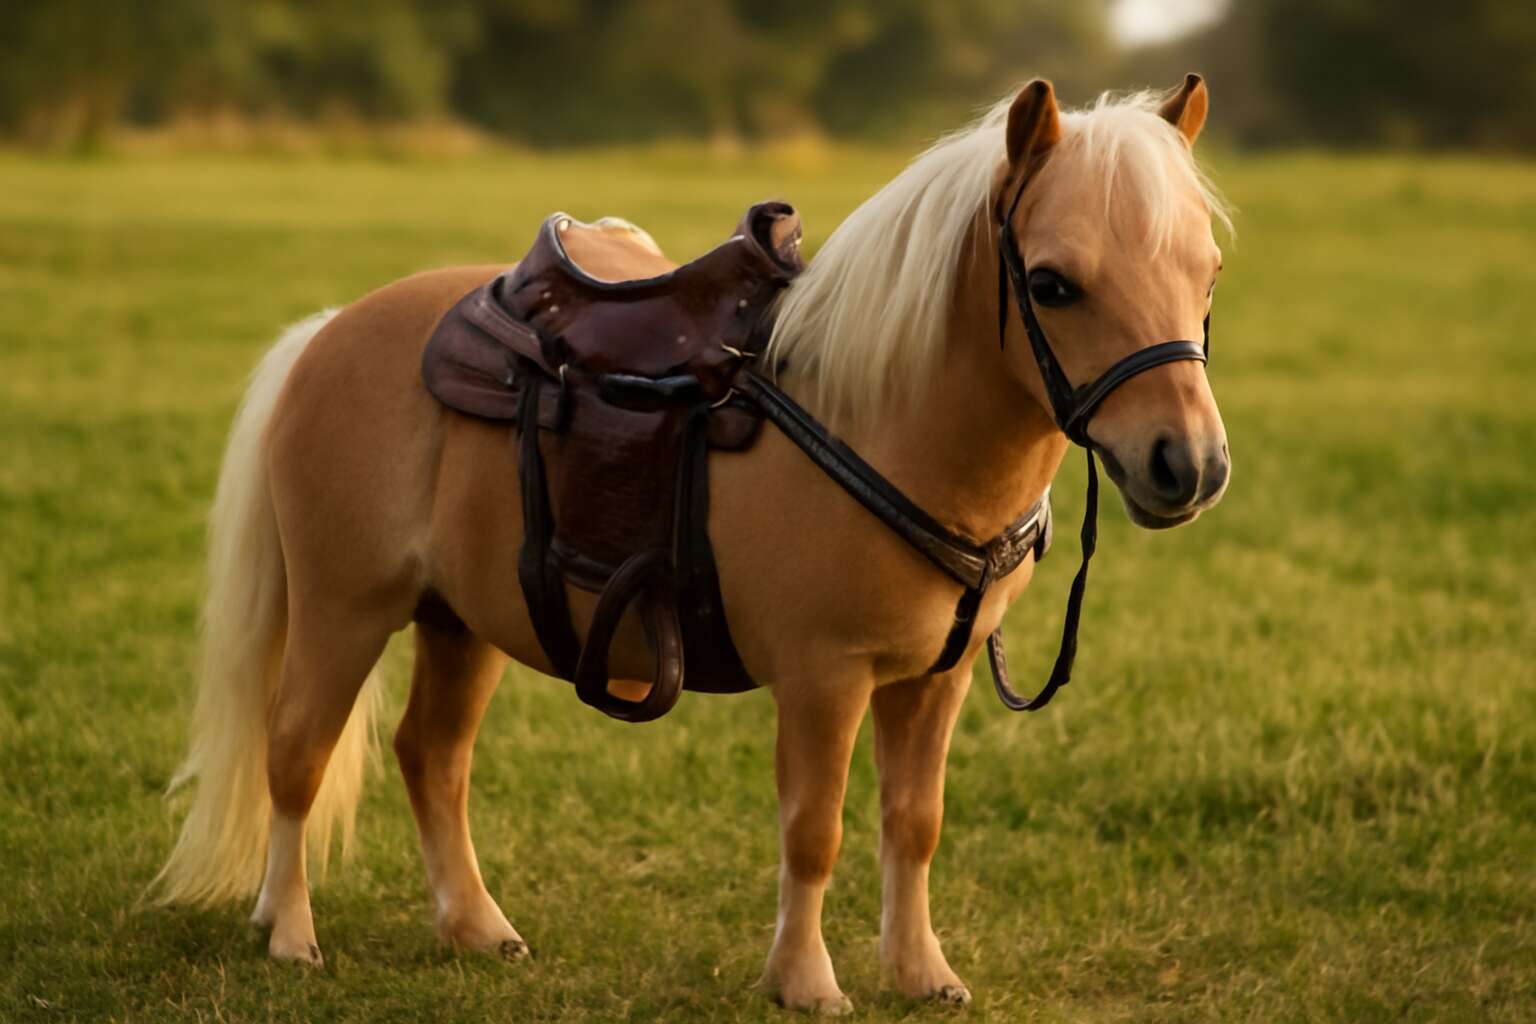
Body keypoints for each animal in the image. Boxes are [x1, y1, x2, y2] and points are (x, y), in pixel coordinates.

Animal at [152, 76, 1231, 1013]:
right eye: (1051, 283)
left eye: (1208, 272)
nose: (1187, 464)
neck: (875, 414)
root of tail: (331, 330)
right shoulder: (822, 677)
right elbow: (814, 831)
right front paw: (805, 982)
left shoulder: (937, 677)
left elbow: (912, 826)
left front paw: (923, 973)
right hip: (343, 608)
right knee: (296, 751)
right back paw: (290, 932)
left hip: (461, 620)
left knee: (431, 755)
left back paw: (474, 925)